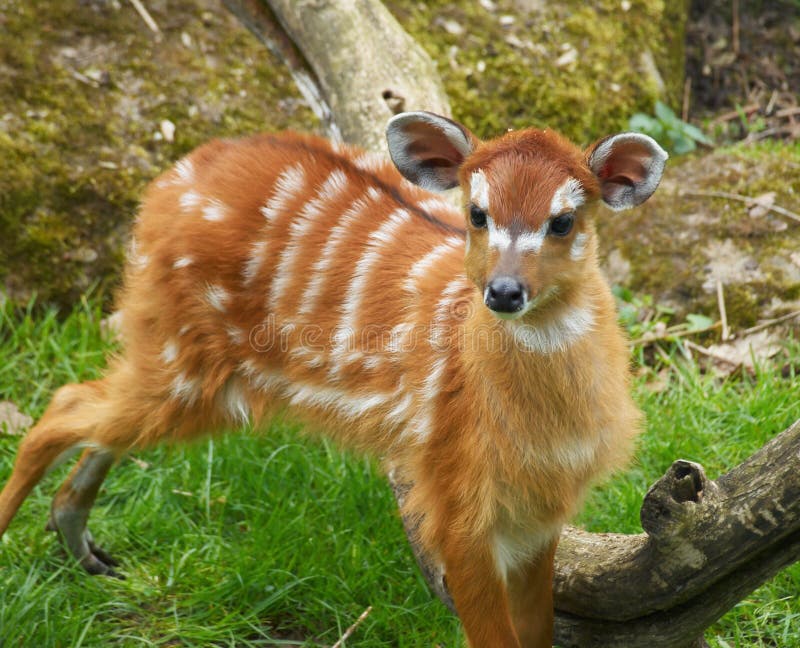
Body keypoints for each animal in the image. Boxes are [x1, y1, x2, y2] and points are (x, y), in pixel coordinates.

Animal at [0, 111, 666, 647]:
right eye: (478, 214)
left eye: (563, 221)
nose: (503, 291)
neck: (542, 432)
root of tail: (167, 183)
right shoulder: (452, 494)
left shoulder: (539, 514)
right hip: (182, 352)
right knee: (64, 404)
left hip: (181, 365)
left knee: (93, 411)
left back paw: (83, 547)